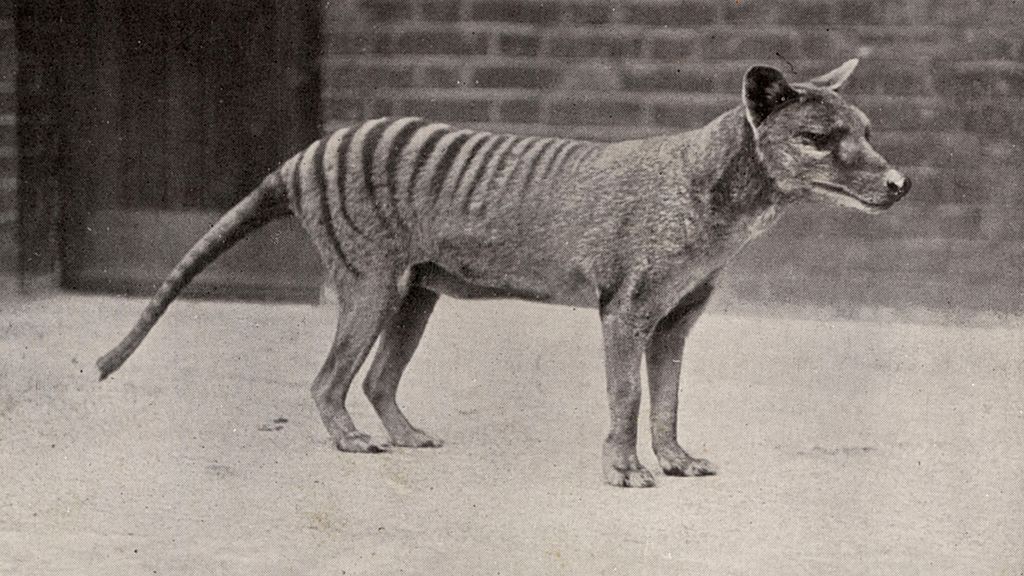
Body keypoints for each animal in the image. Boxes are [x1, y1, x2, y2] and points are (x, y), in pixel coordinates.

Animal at [98, 59, 911, 487]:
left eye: (868, 131)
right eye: (819, 138)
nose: (901, 183)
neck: (705, 187)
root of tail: (302, 156)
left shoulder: (676, 320)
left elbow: (669, 398)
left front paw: (676, 459)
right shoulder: (624, 311)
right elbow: (626, 395)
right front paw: (624, 469)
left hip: (416, 290)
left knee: (378, 378)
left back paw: (403, 433)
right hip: (370, 284)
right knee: (329, 380)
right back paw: (353, 440)